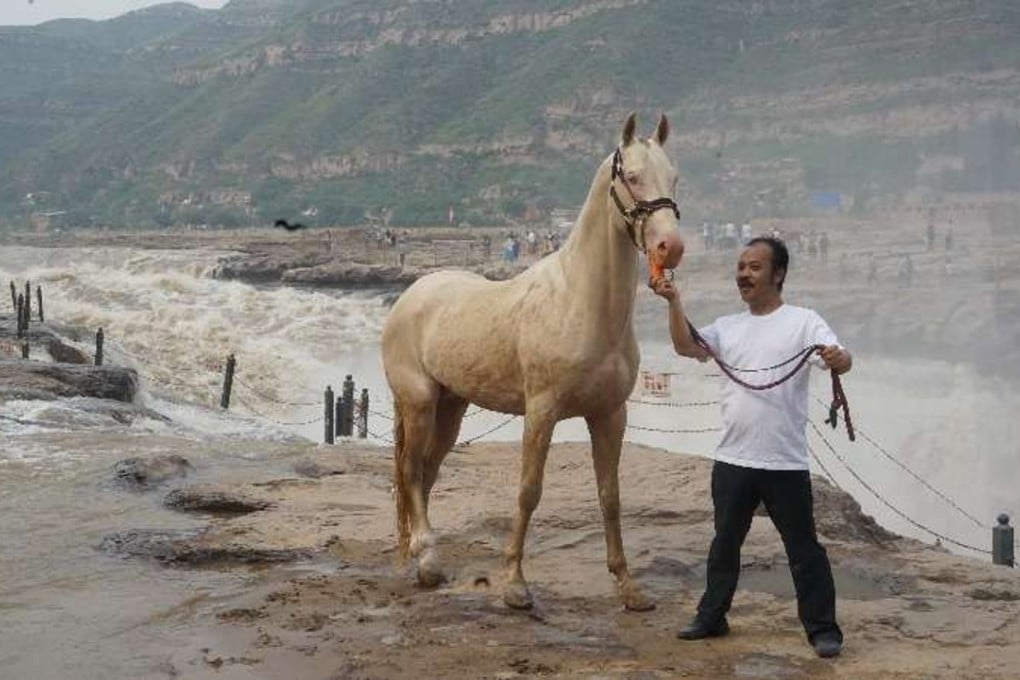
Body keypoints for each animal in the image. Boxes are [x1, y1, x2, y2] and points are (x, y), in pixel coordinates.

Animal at [381, 113, 685, 611]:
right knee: (410, 471)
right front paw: (515, 584)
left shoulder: (610, 415)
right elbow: (529, 491)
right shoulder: (541, 412)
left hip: (451, 408)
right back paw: (427, 560)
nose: (669, 247)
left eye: (674, 177)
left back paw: (427, 557)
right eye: (634, 176)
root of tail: (409, 297)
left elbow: (610, 496)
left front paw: (628, 586)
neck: (580, 302)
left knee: (426, 472)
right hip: (419, 402)